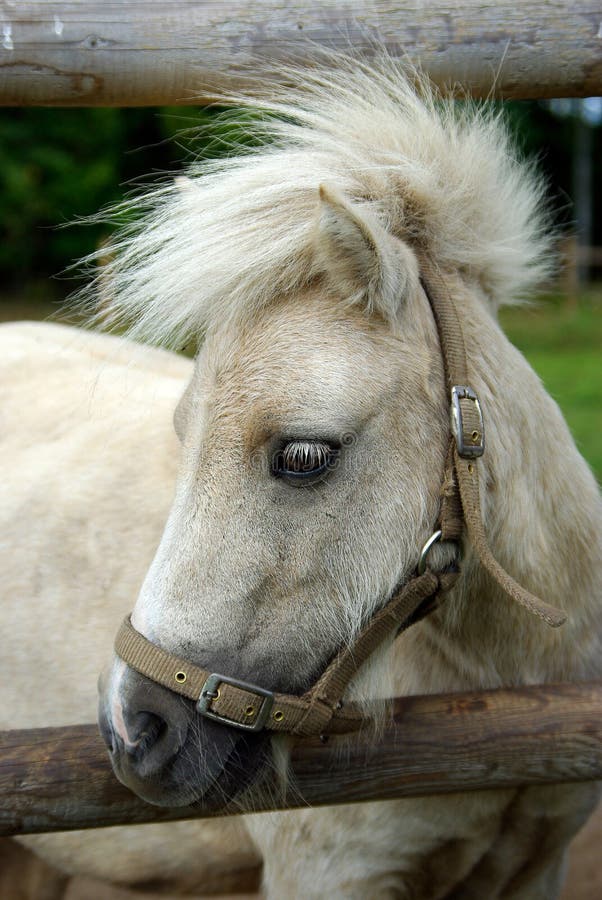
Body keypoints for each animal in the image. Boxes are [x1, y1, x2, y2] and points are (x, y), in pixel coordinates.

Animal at [2, 57, 601, 898]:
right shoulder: (329, 874)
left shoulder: (538, 863)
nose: (133, 730)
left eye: (304, 456)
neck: (508, 684)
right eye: (183, 437)